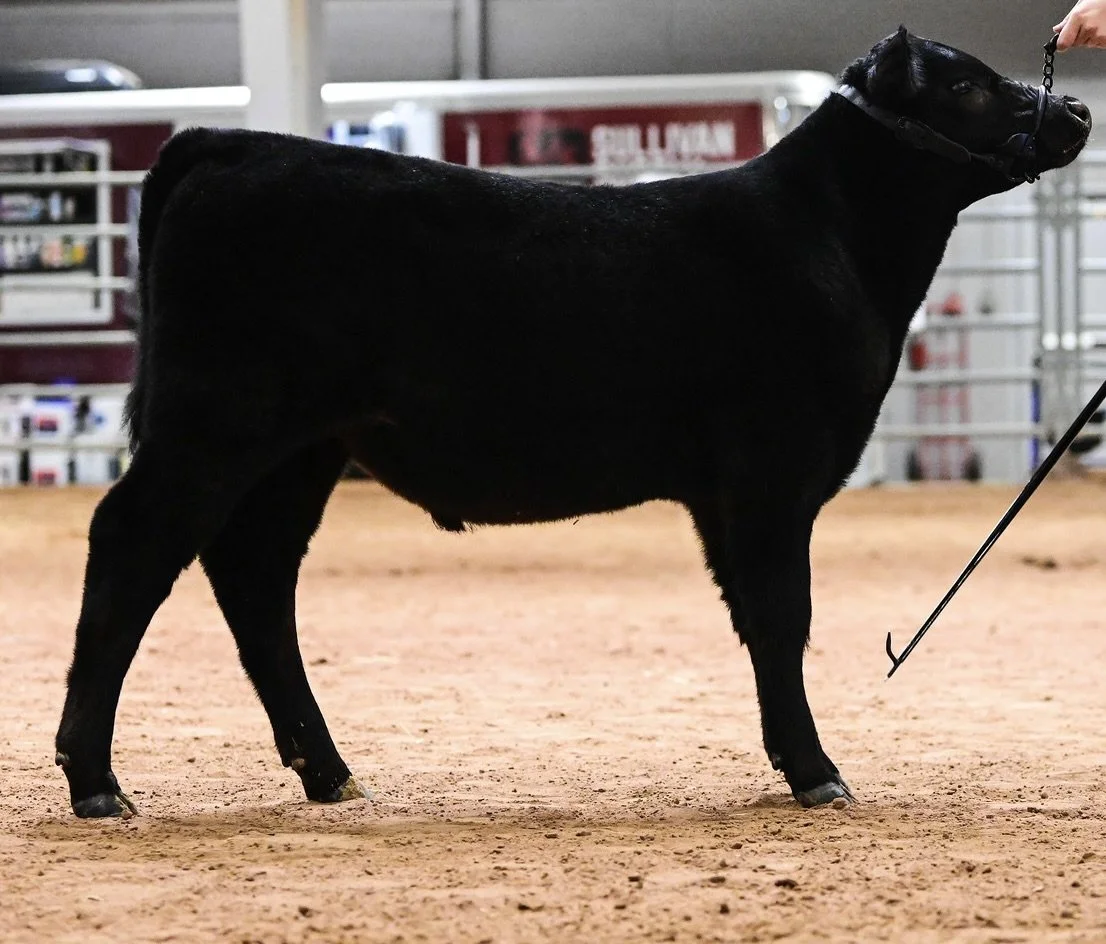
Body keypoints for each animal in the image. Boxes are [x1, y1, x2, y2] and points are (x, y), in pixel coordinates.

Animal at [54, 28, 1091, 817]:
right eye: (966, 83)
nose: (1078, 113)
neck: (831, 242)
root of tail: (227, 142)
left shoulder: (731, 494)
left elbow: (758, 621)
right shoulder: (770, 474)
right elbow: (782, 616)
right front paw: (818, 774)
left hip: (300, 449)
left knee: (254, 577)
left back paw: (330, 773)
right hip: (215, 423)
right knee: (132, 545)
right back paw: (96, 780)